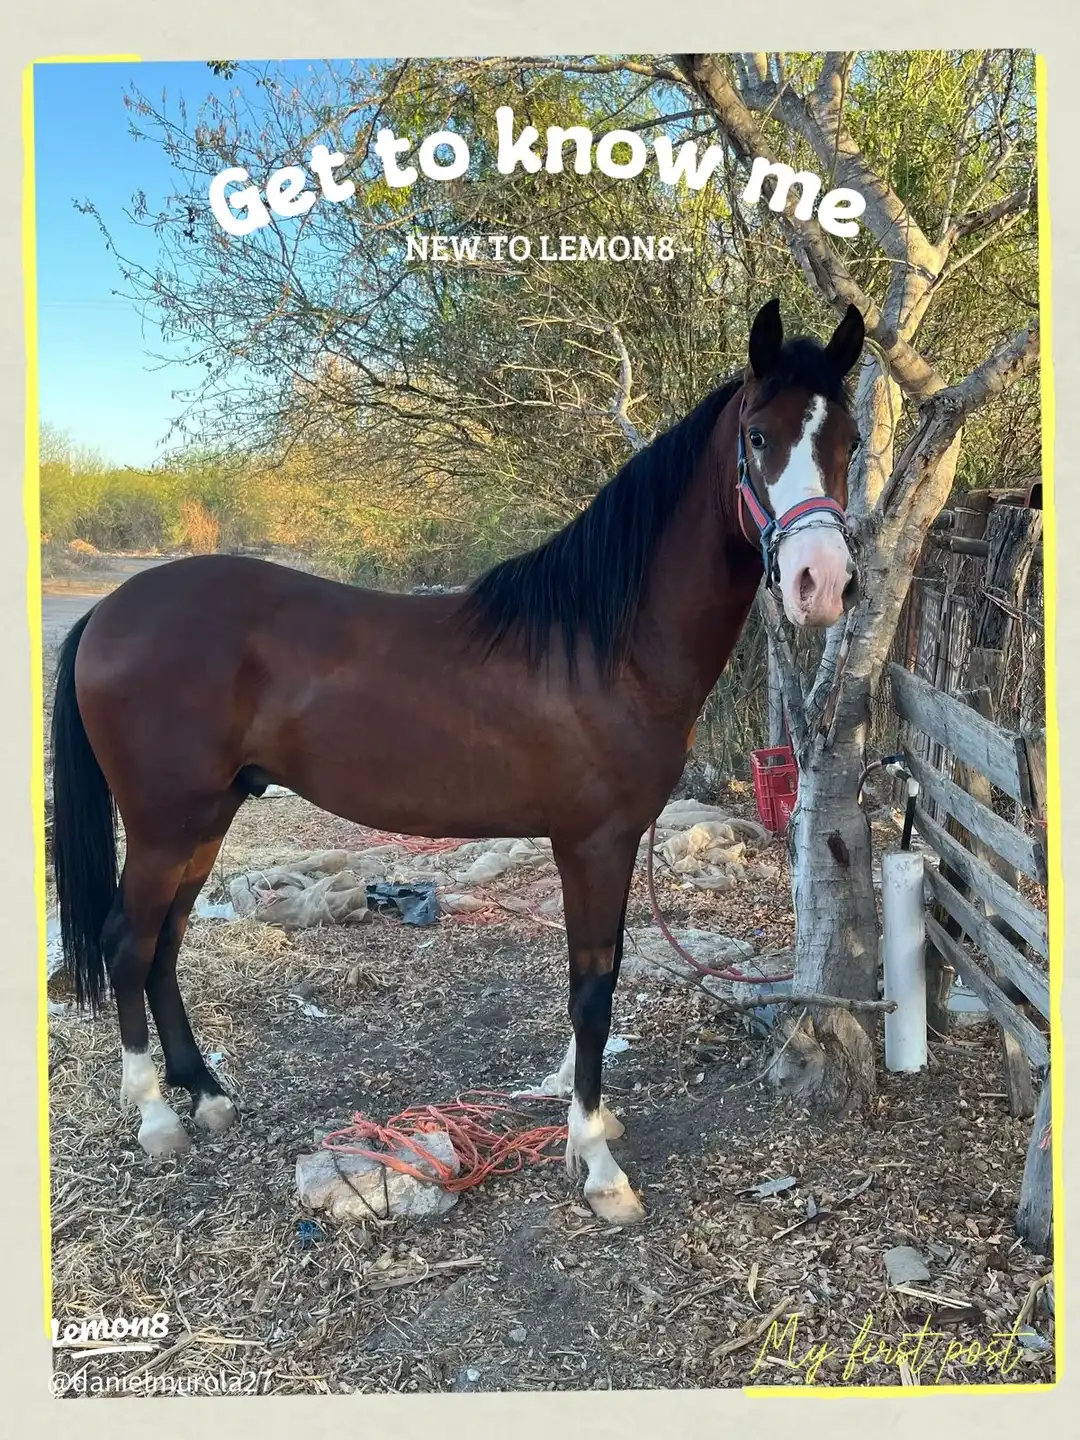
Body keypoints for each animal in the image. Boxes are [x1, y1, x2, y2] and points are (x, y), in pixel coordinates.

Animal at [50, 297, 864, 1225]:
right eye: (759, 437)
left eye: (852, 441)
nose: (822, 582)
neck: (603, 643)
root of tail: (111, 611)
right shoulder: (592, 842)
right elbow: (593, 987)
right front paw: (597, 1164)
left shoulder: (607, 842)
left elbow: (599, 977)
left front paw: (592, 1122)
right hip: (163, 824)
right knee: (127, 942)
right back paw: (156, 1115)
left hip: (206, 819)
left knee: (165, 944)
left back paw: (208, 1093)